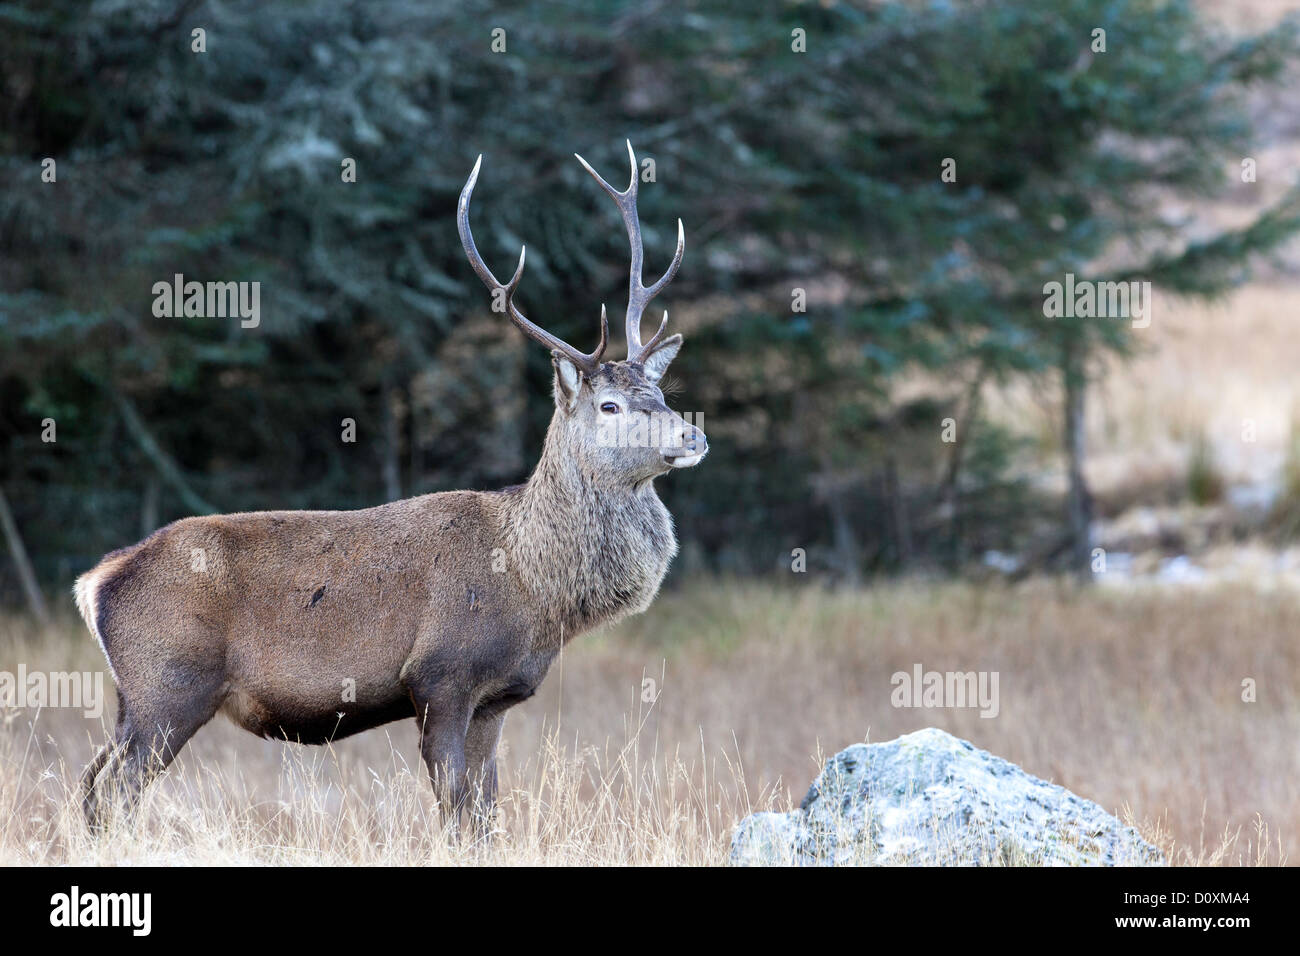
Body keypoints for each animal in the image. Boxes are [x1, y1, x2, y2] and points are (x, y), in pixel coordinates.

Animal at [74, 141, 706, 836]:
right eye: (611, 406)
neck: (534, 586)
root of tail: (96, 581)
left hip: (134, 700)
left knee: (89, 783)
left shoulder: (495, 700)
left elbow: (485, 817)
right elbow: (456, 812)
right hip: (168, 683)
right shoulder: (441, 676)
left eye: (661, 394)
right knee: (111, 792)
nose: (693, 434)